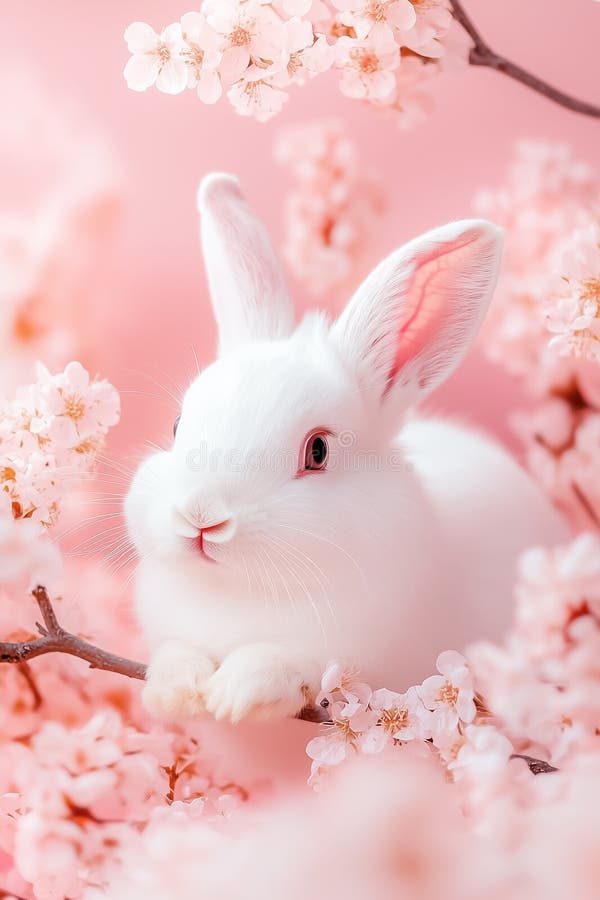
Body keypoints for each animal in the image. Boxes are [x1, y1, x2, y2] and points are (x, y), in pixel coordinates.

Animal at [124, 172, 568, 724]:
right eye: (178, 424)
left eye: (317, 452)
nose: (201, 517)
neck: (238, 590)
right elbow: (173, 654)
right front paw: (179, 693)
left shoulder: (346, 654)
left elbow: (287, 662)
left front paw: (234, 696)